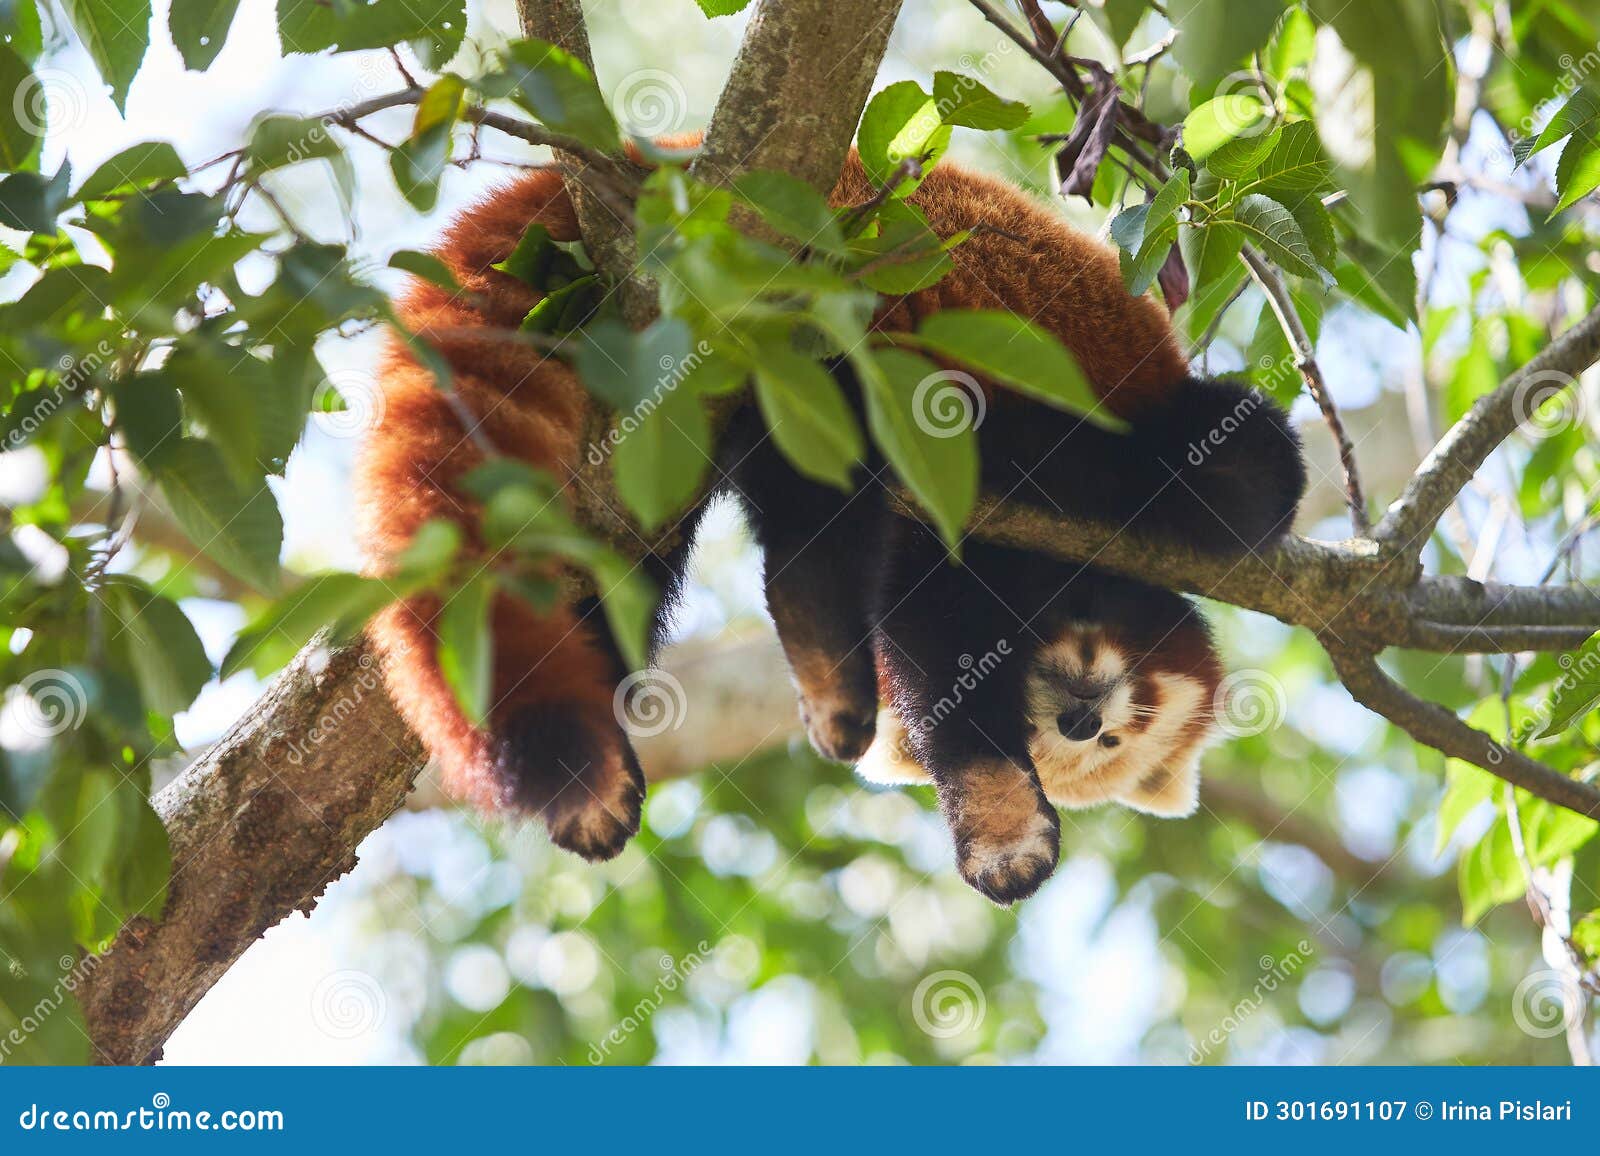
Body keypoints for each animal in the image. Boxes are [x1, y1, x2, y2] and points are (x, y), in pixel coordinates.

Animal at [354, 150, 1306, 905]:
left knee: (642, 556)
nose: (1078, 720)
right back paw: (816, 617)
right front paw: (1004, 824)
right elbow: (1244, 473)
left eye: (1108, 741)